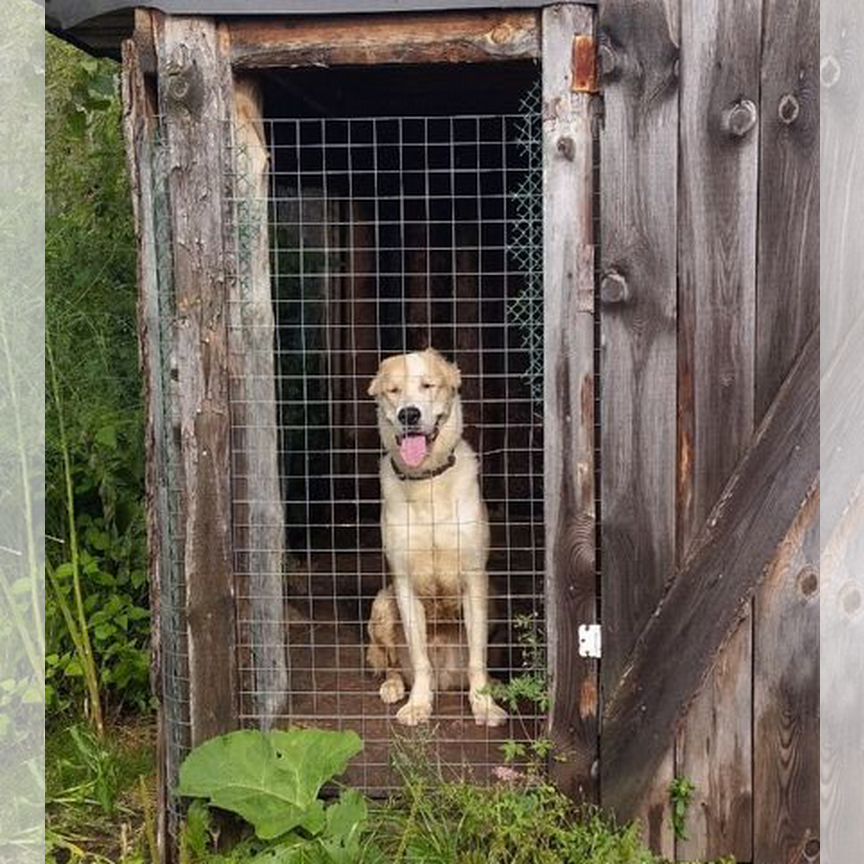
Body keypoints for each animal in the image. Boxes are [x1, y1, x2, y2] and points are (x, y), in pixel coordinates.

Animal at [364, 348, 506, 724]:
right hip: (382, 603)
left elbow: (477, 658)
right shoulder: (403, 583)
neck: (426, 481)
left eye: (428, 385)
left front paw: (484, 704)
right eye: (393, 390)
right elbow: (419, 659)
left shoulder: (474, 578)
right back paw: (394, 687)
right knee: (393, 664)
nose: (408, 414)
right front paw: (419, 704)